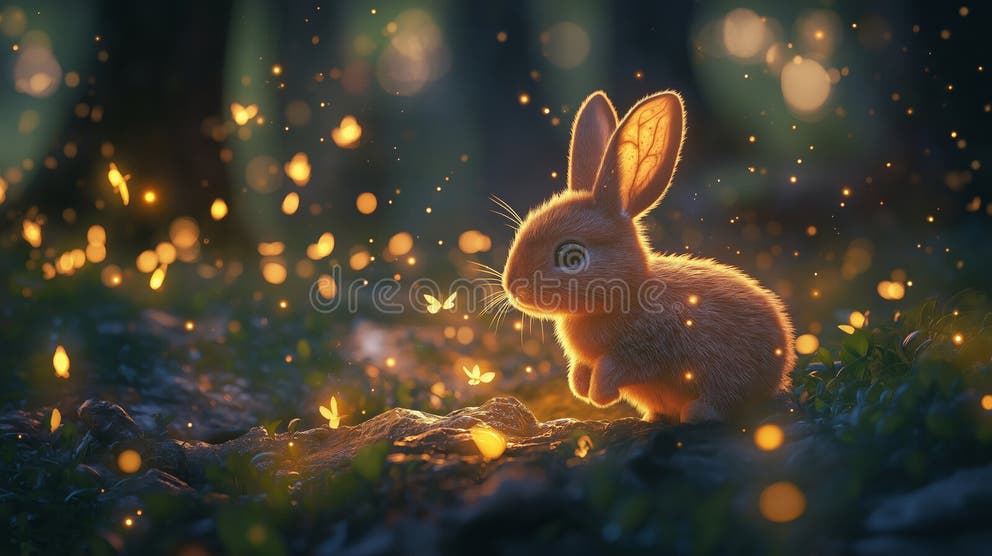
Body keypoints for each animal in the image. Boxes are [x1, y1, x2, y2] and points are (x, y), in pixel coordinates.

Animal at [500, 90, 795, 423]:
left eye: (572, 257)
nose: (513, 287)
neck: (626, 293)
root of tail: (783, 362)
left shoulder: (648, 348)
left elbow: (614, 368)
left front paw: (599, 396)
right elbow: (582, 370)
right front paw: (581, 389)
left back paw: (695, 412)